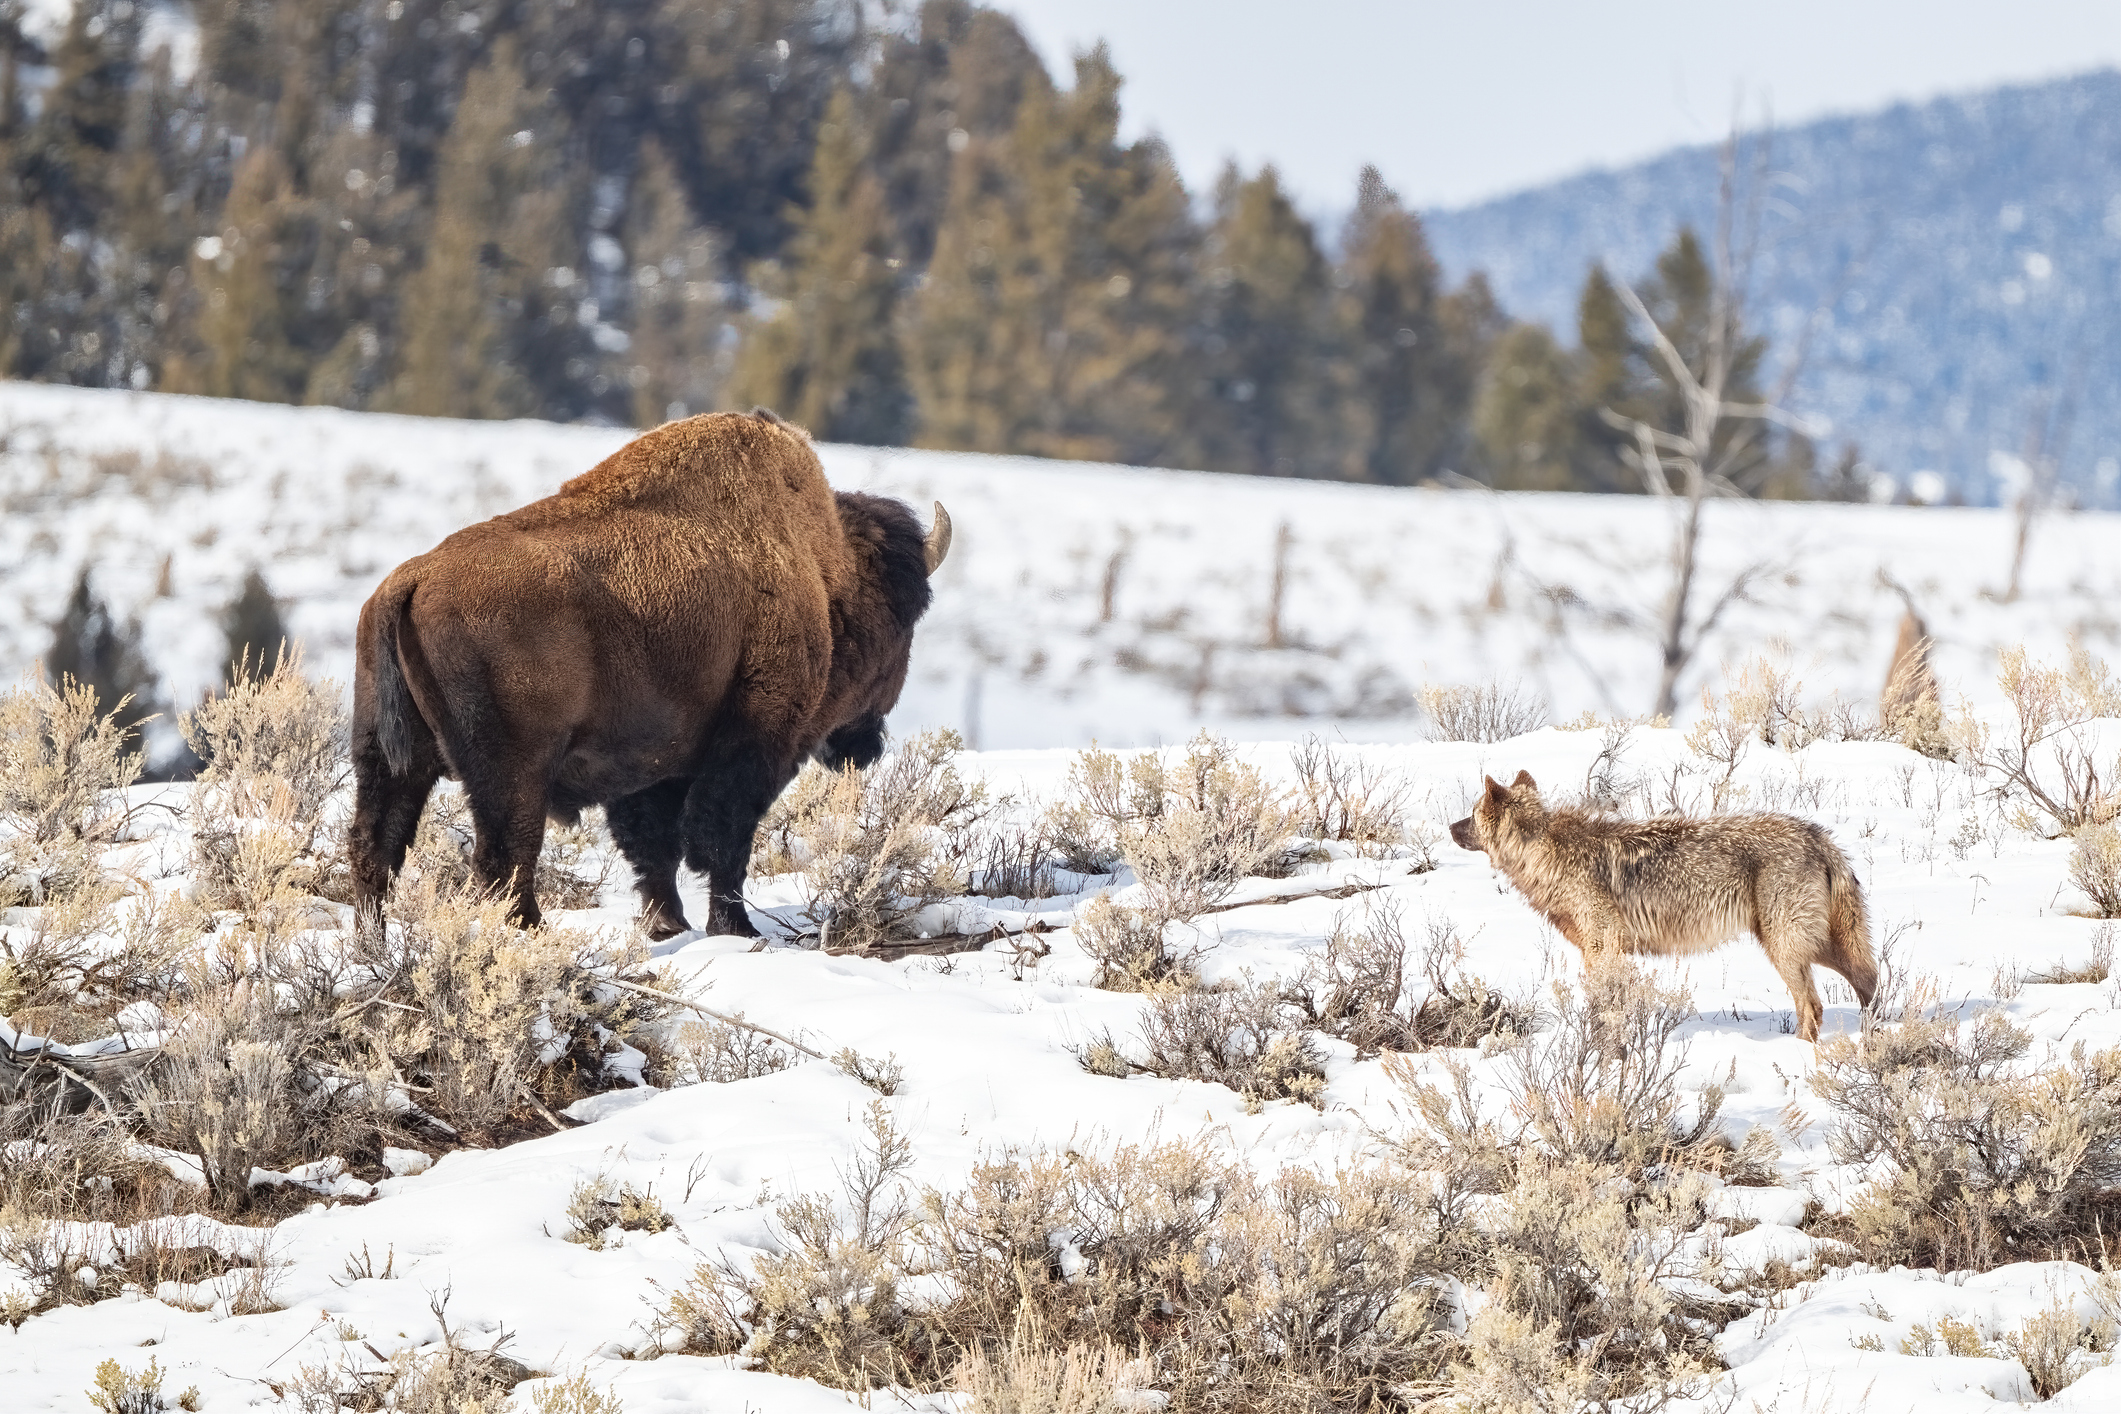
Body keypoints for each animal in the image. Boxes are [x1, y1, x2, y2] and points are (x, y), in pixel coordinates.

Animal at [1449, 771, 1876, 1041]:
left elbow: (1604, 1011)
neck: (1546, 854)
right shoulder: (1608, 951)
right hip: (1814, 947)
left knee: (1814, 1006)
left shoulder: (1604, 948)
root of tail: (1820, 837)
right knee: (1868, 982)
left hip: (1786, 948)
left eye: (1470, 813)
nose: (1449, 828)